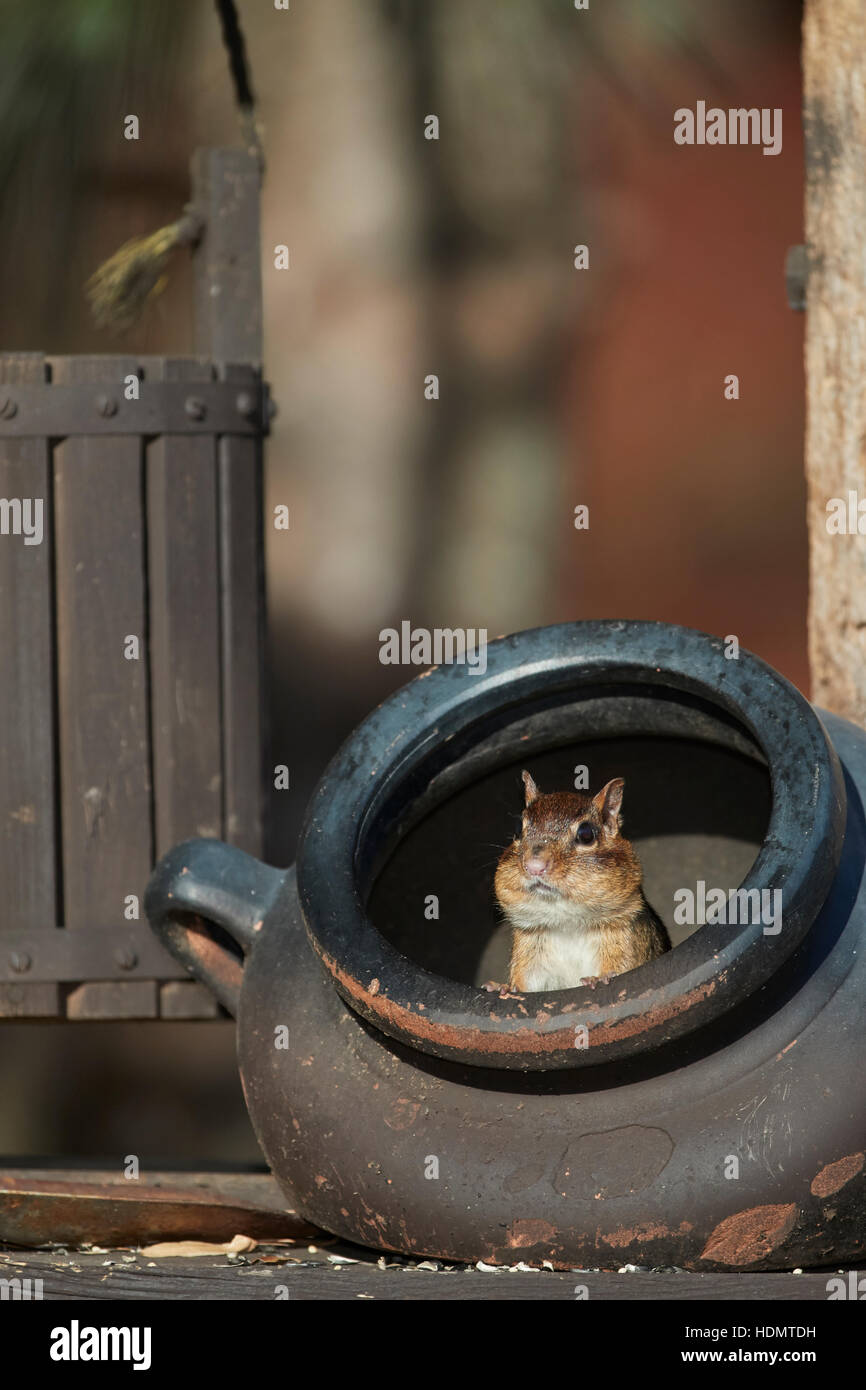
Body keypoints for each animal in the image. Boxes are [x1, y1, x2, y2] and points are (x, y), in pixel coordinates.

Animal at [490, 770, 671, 994]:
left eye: (586, 834)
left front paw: (599, 978)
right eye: (517, 828)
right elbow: (525, 984)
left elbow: (621, 966)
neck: (566, 923)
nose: (534, 866)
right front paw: (505, 988)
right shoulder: (529, 954)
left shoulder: (626, 938)